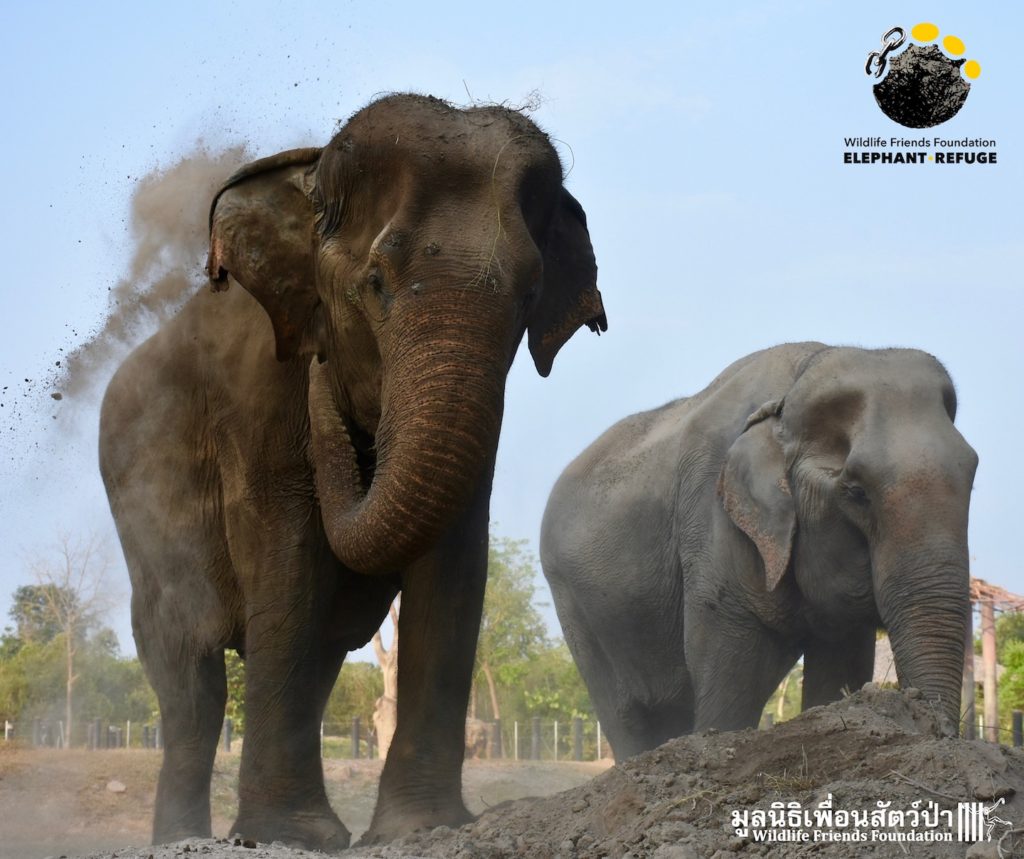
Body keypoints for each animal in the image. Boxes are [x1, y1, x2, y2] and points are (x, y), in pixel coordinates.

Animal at [99, 93, 606, 848]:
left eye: (530, 292)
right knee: (191, 676)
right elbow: (287, 546)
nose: (327, 387)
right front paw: (290, 835)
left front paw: (416, 828)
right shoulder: (257, 399)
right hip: (144, 509)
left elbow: (454, 557)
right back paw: (180, 838)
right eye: (376, 284)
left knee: (314, 663)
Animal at [541, 343, 976, 760]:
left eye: (972, 474)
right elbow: (730, 668)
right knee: (622, 713)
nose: (936, 730)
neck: (797, 382)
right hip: (573, 604)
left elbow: (842, 661)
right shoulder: (713, 520)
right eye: (856, 492)